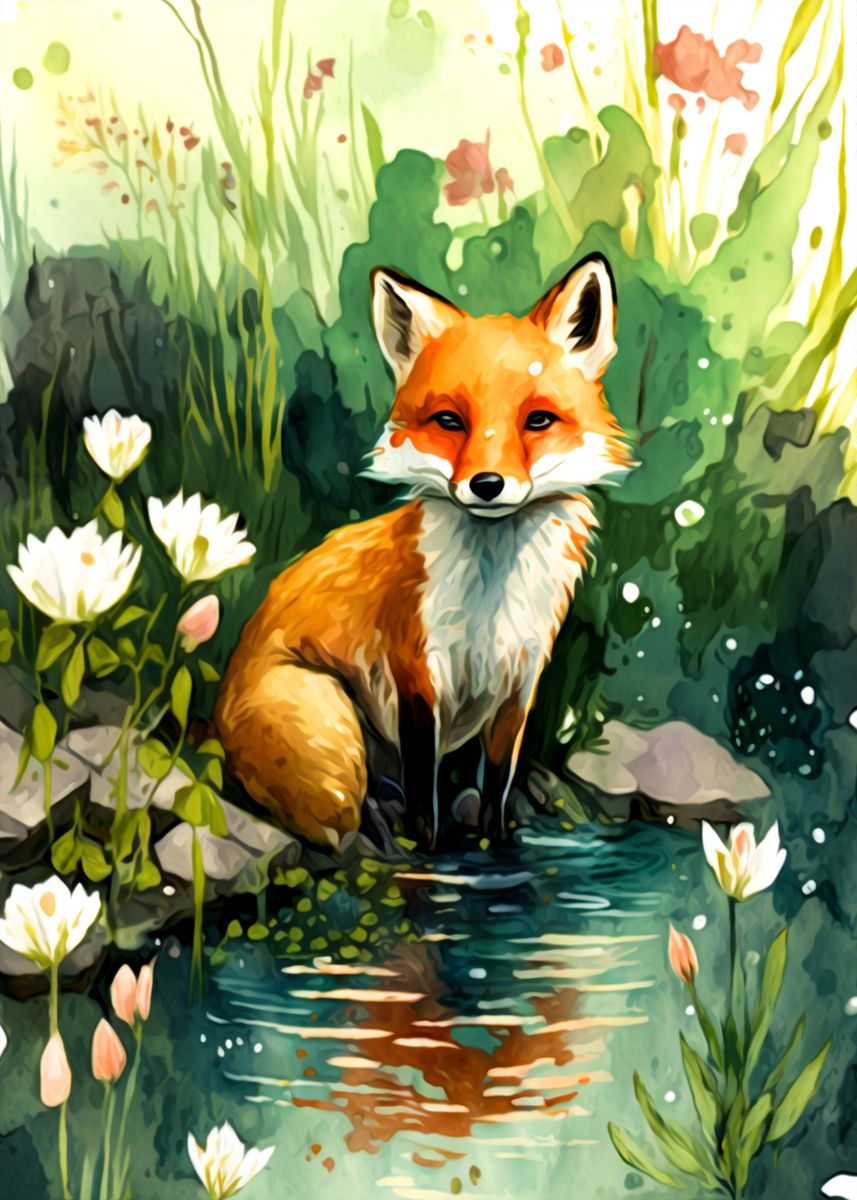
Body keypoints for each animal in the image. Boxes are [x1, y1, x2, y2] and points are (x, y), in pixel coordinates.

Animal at [215, 252, 632, 850]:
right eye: (450, 421)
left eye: (538, 421)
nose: (487, 484)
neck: (490, 601)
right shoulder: (415, 675)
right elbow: (422, 794)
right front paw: (429, 854)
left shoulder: (520, 682)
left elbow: (497, 784)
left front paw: (496, 847)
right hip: (336, 740)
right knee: (342, 829)